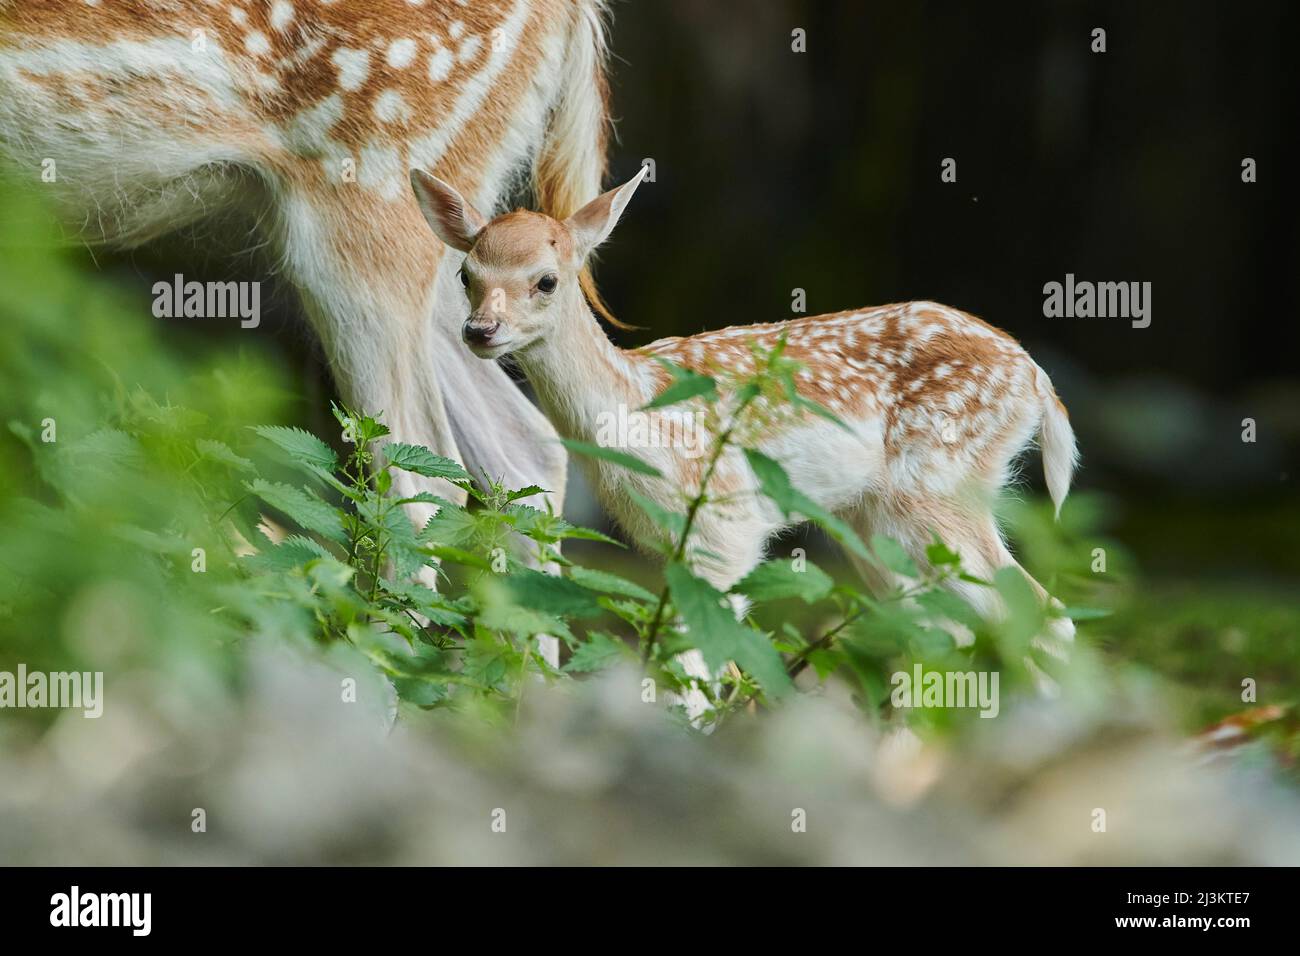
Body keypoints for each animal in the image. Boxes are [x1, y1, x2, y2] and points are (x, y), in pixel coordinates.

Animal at [411, 165, 1081, 694]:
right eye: (466, 274)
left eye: (546, 280)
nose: (479, 330)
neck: (636, 406)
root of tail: (1037, 377)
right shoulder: (674, 549)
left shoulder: (725, 528)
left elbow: (700, 665)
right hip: (876, 523)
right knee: (952, 631)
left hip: (940, 488)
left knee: (1044, 615)